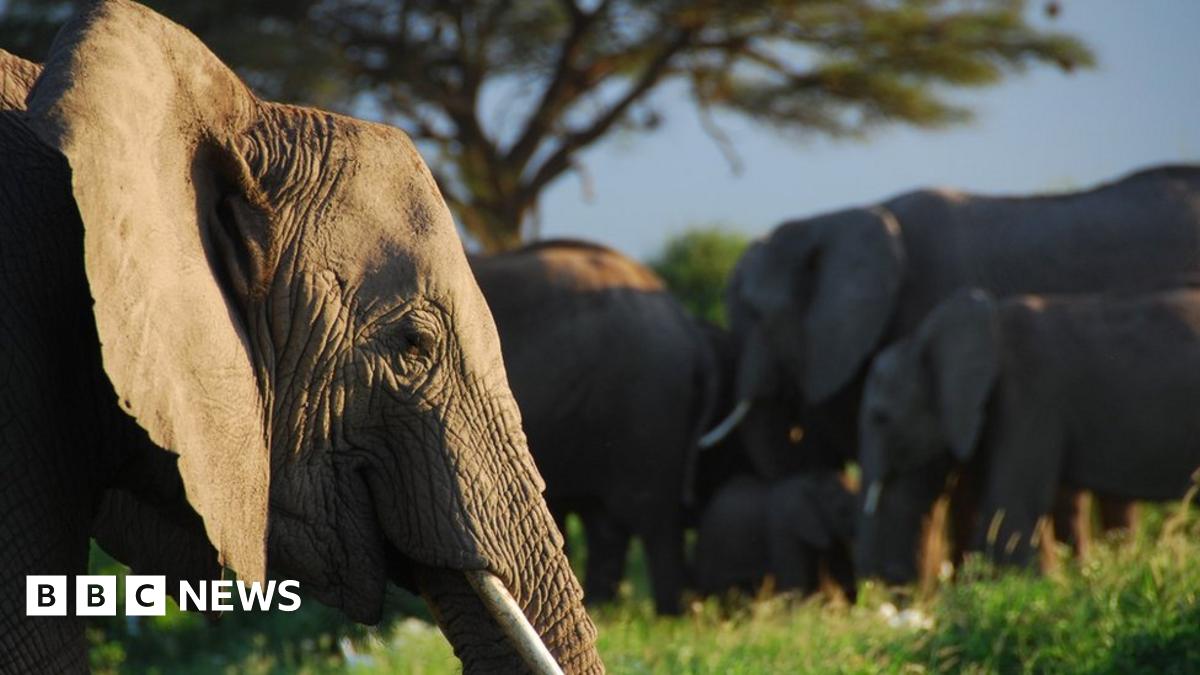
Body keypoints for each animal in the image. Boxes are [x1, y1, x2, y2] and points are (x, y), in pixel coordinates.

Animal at [471, 240, 717, 615]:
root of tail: (684, 322)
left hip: (646, 402)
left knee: (654, 519)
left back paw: (672, 614)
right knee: (606, 524)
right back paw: (607, 609)